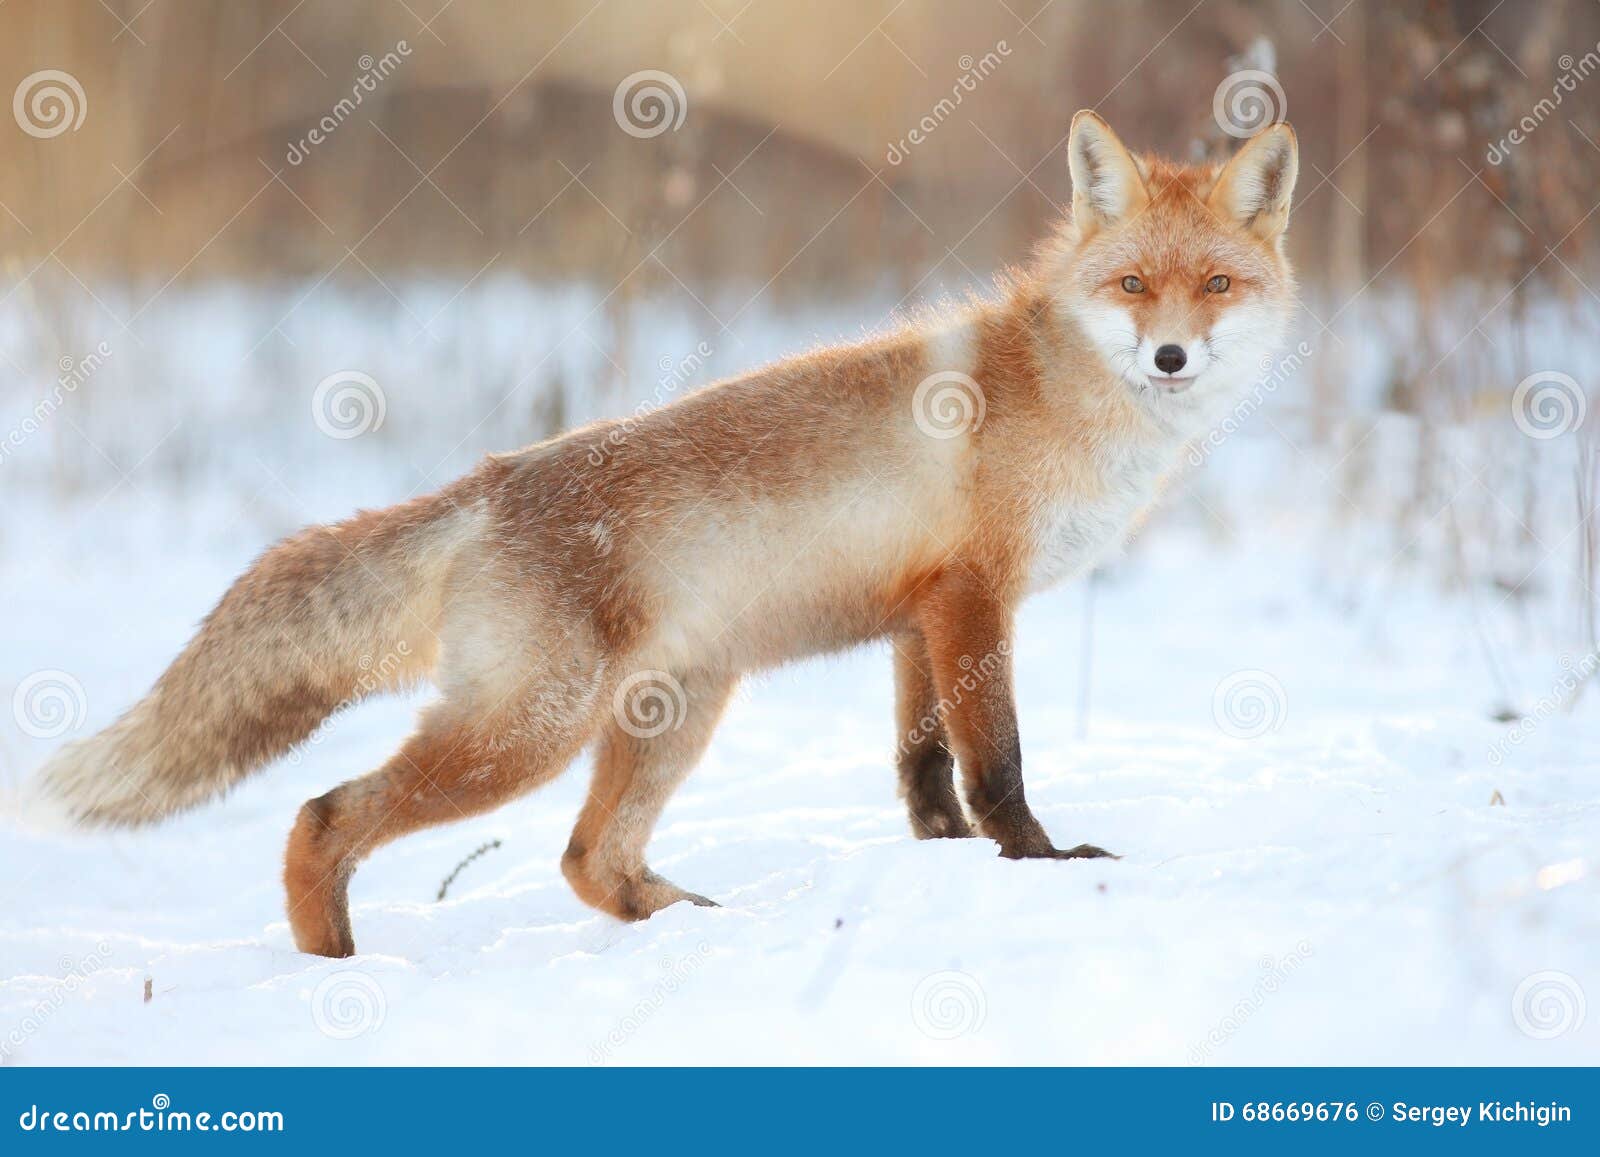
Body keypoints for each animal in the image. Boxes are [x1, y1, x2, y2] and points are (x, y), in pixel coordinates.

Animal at [38, 111, 1298, 957]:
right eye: (1132, 284)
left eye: (1215, 285)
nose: (1170, 357)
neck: (1065, 403)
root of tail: (490, 485)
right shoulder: (972, 597)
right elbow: (997, 764)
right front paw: (1038, 863)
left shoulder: (921, 612)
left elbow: (921, 767)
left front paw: (944, 861)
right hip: (528, 732)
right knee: (323, 817)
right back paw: (336, 972)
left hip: (673, 712)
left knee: (586, 860)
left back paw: (687, 920)